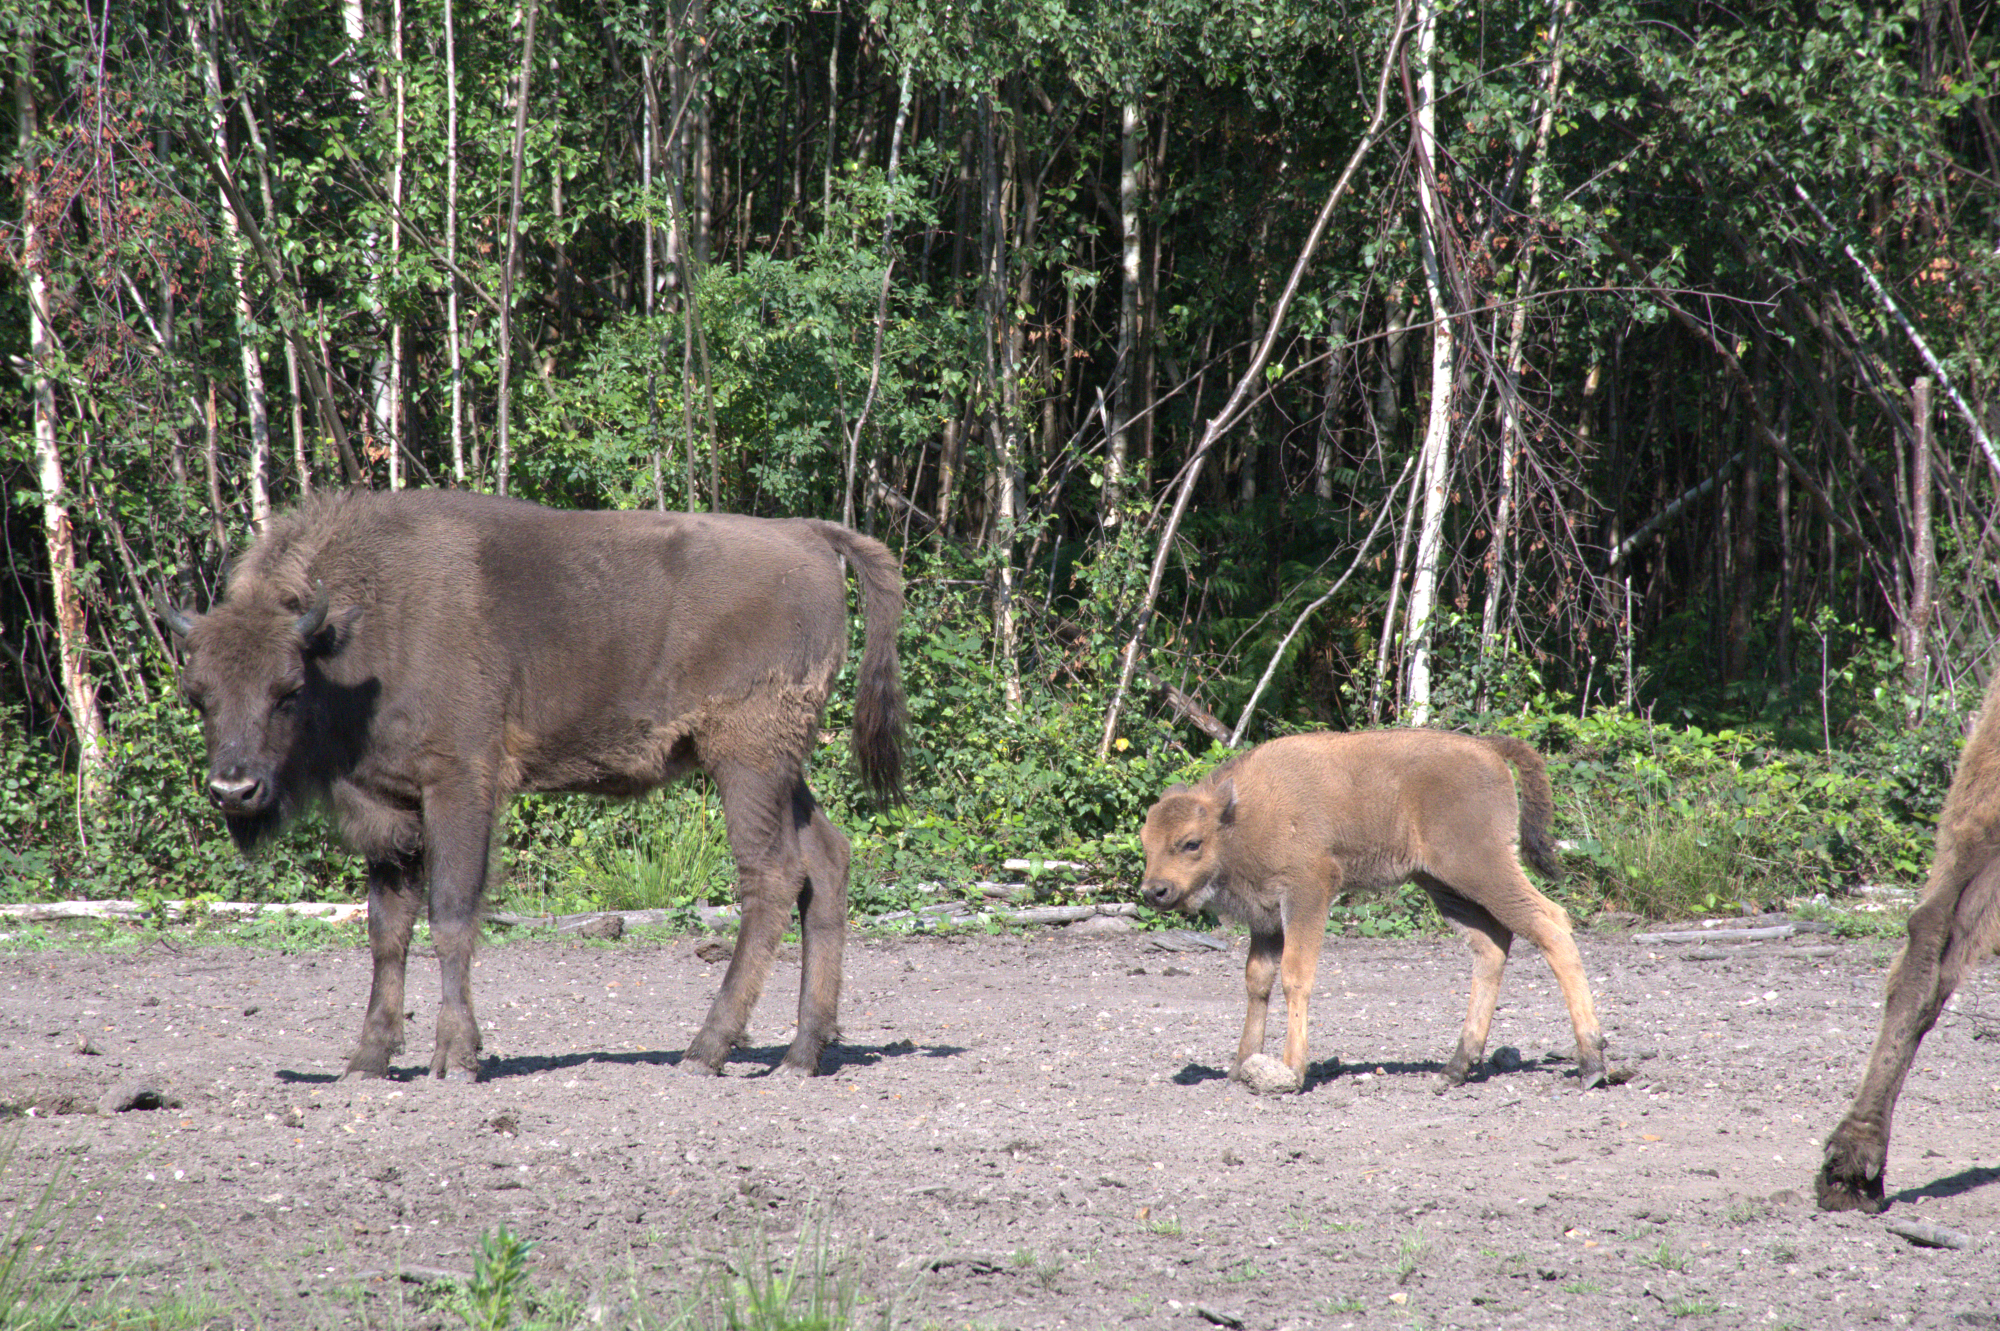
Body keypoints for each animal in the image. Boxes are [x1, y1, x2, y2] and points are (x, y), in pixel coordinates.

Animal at [162, 488, 904, 1080]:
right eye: (197, 694)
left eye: (286, 691)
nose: (233, 790)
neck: (354, 634)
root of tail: (808, 535)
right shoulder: (387, 809)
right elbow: (387, 930)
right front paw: (366, 1062)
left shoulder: (459, 783)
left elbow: (452, 914)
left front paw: (455, 1058)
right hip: (783, 767)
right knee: (826, 862)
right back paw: (801, 1055)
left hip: (746, 758)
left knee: (771, 875)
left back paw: (706, 1050)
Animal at [1139, 730, 1609, 1092]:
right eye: (1146, 842)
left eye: (1191, 842)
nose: (1155, 891)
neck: (1238, 815)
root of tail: (1485, 747)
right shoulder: (1266, 918)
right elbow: (1257, 981)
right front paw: (1240, 1066)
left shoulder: (1307, 893)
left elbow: (1295, 976)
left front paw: (1291, 1069)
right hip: (1442, 885)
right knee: (1491, 945)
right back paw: (1455, 1068)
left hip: (1482, 866)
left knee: (1550, 923)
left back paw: (1591, 1064)